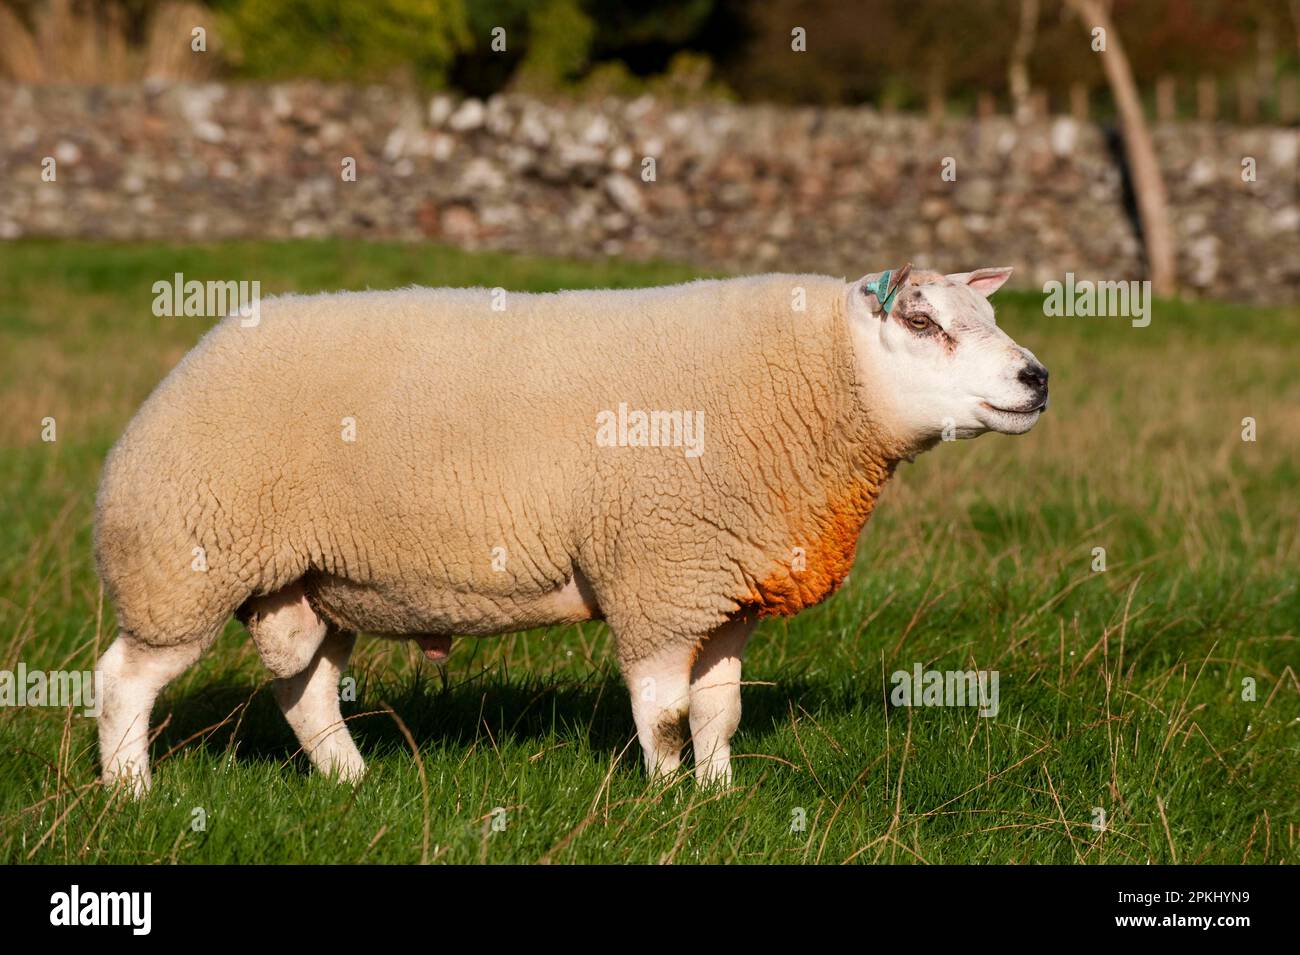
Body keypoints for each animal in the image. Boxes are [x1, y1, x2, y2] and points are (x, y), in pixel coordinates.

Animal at [94, 265, 1048, 795]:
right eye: (921, 322)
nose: (1036, 378)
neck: (814, 384)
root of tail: (196, 354)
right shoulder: (657, 572)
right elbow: (663, 713)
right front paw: (666, 798)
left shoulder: (722, 584)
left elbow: (721, 710)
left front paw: (720, 795)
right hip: (186, 560)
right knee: (122, 679)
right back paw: (130, 792)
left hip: (308, 580)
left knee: (306, 688)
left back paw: (352, 781)